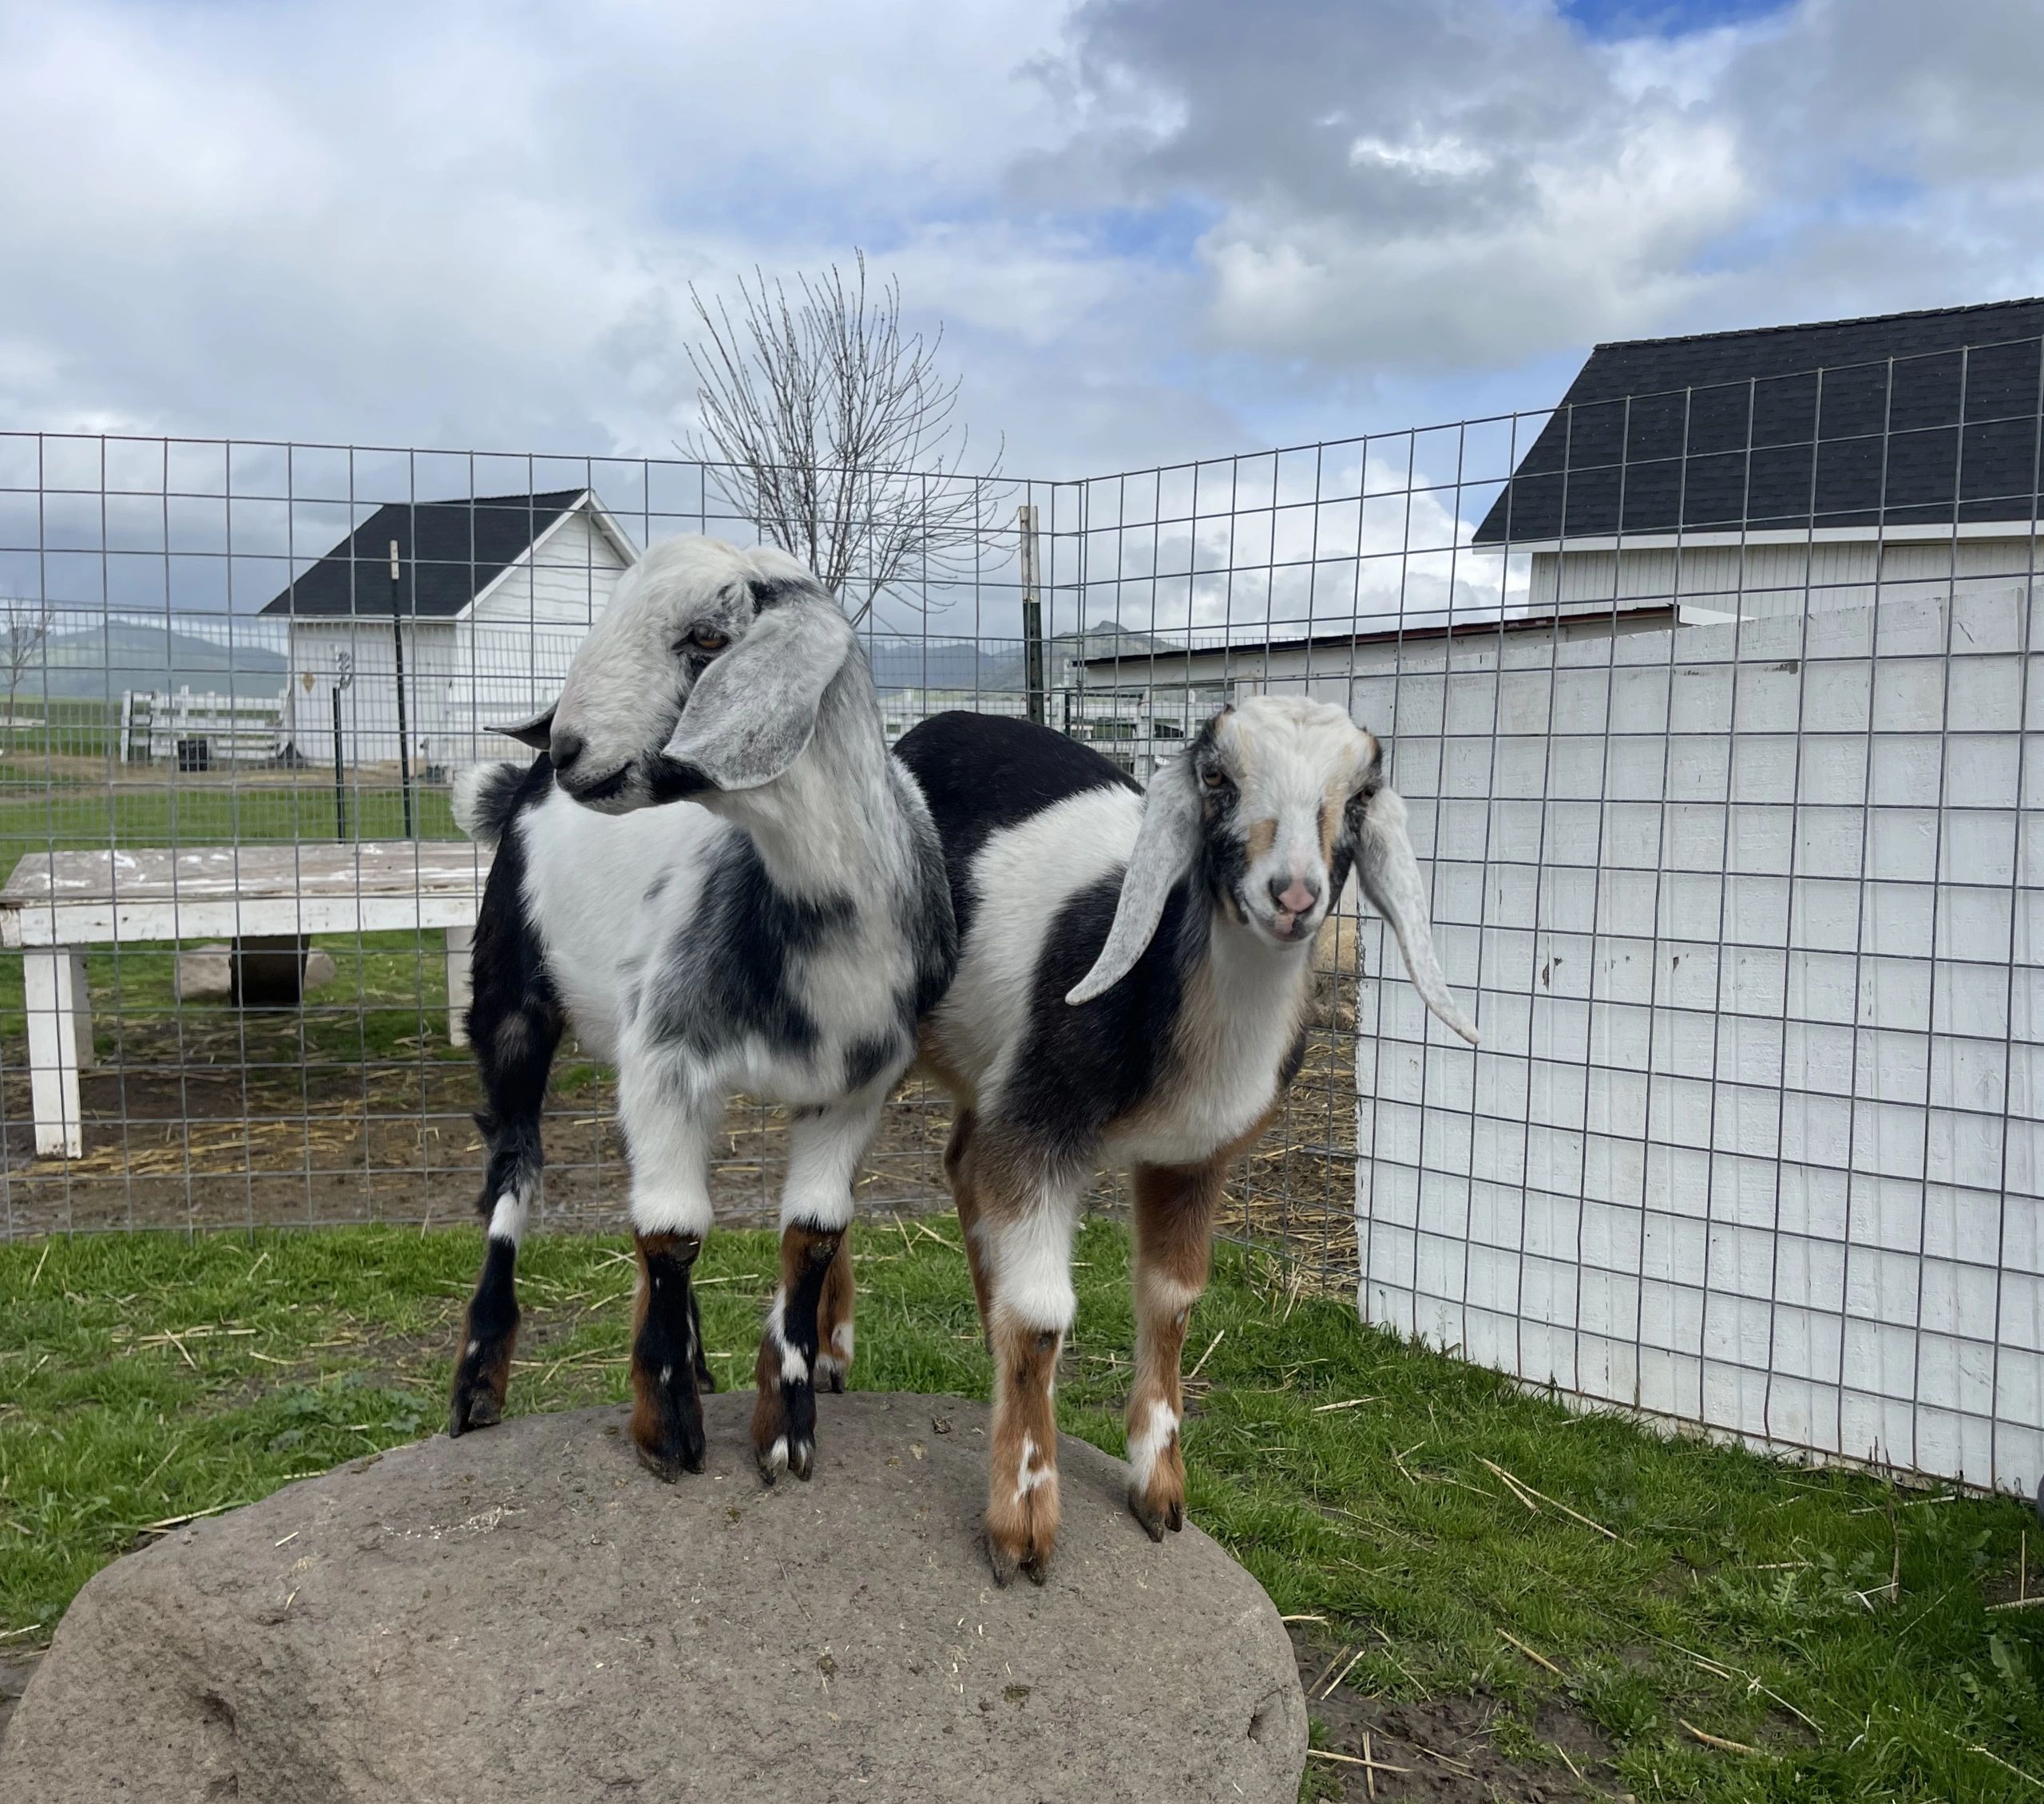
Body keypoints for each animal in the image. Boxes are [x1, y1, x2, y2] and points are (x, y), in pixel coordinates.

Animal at [446, 537, 954, 1484]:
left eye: (708, 637)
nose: (567, 748)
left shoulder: (855, 1085)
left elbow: (811, 1237)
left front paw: (786, 1428)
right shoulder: (670, 1053)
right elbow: (674, 1232)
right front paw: (668, 1428)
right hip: (511, 1001)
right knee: (513, 1173)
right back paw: (477, 1384)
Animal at [894, 699, 1476, 1583]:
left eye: (1362, 793)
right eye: (1215, 776)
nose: (1293, 894)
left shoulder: (1194, 1156)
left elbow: (1171, 1301)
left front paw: (1158, 1488)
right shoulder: (1039, 1127)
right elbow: (1042, 1317)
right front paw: (1022, 1522)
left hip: (987, 1072)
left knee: (962, 1160)